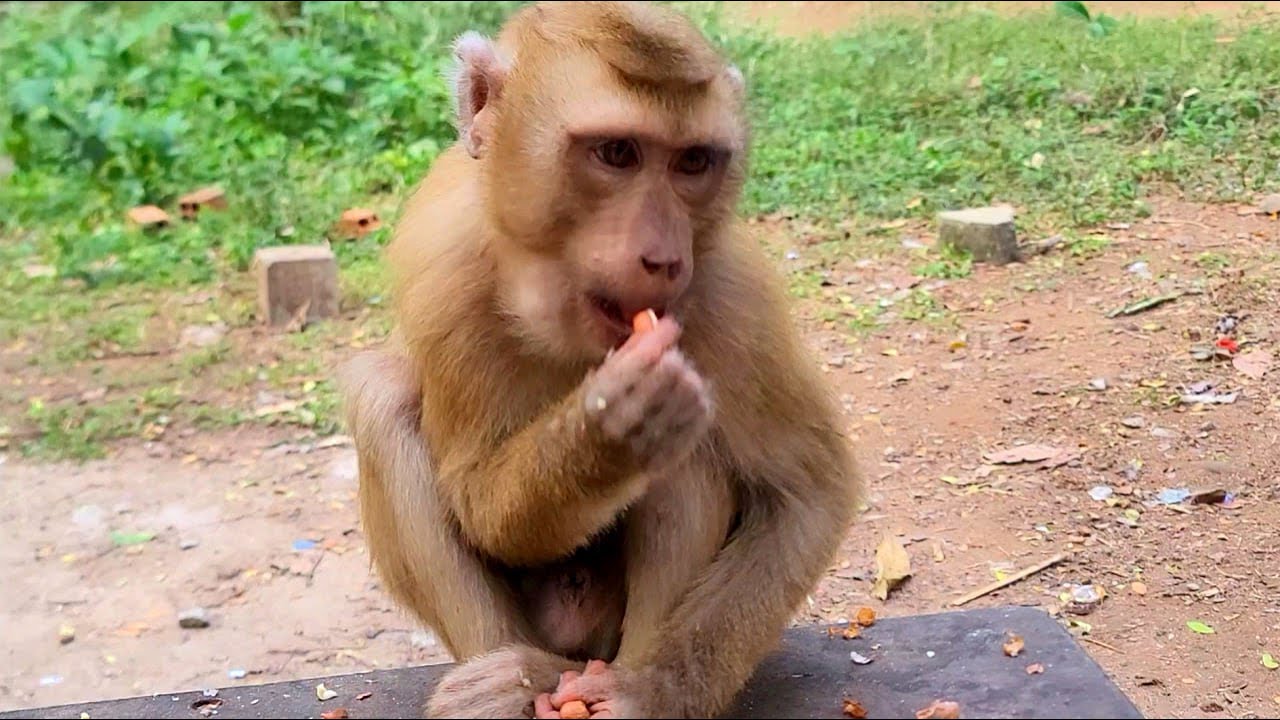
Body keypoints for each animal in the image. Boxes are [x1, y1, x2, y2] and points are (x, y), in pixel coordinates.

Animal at [338, 2, 862, 718]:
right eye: (617, 153)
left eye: (693, 161)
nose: (663, 258)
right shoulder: (444, 275)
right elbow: (477, 500)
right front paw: (609, 434)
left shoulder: (731, 293)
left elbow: (807, 492)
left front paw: (652, 693)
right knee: (383, 400)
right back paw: (513, 679)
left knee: (691, 458)